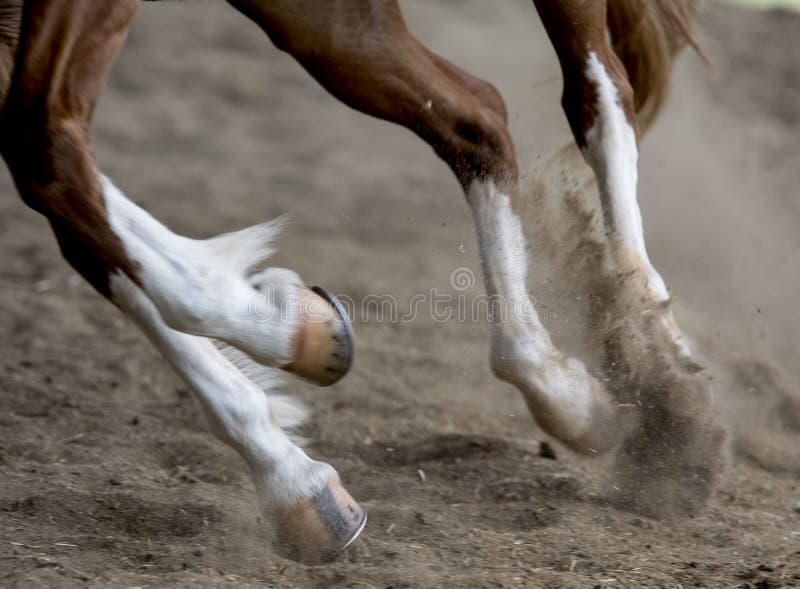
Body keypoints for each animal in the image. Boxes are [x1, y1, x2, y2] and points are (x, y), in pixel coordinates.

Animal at [0, 0, 724, 563]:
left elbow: (48, 154)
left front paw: (299, 326)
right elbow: (86, 226)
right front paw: (293, 481)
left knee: (597, 95)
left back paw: (664, 374)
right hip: (327, 20)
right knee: (477, 115)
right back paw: (570, 389)